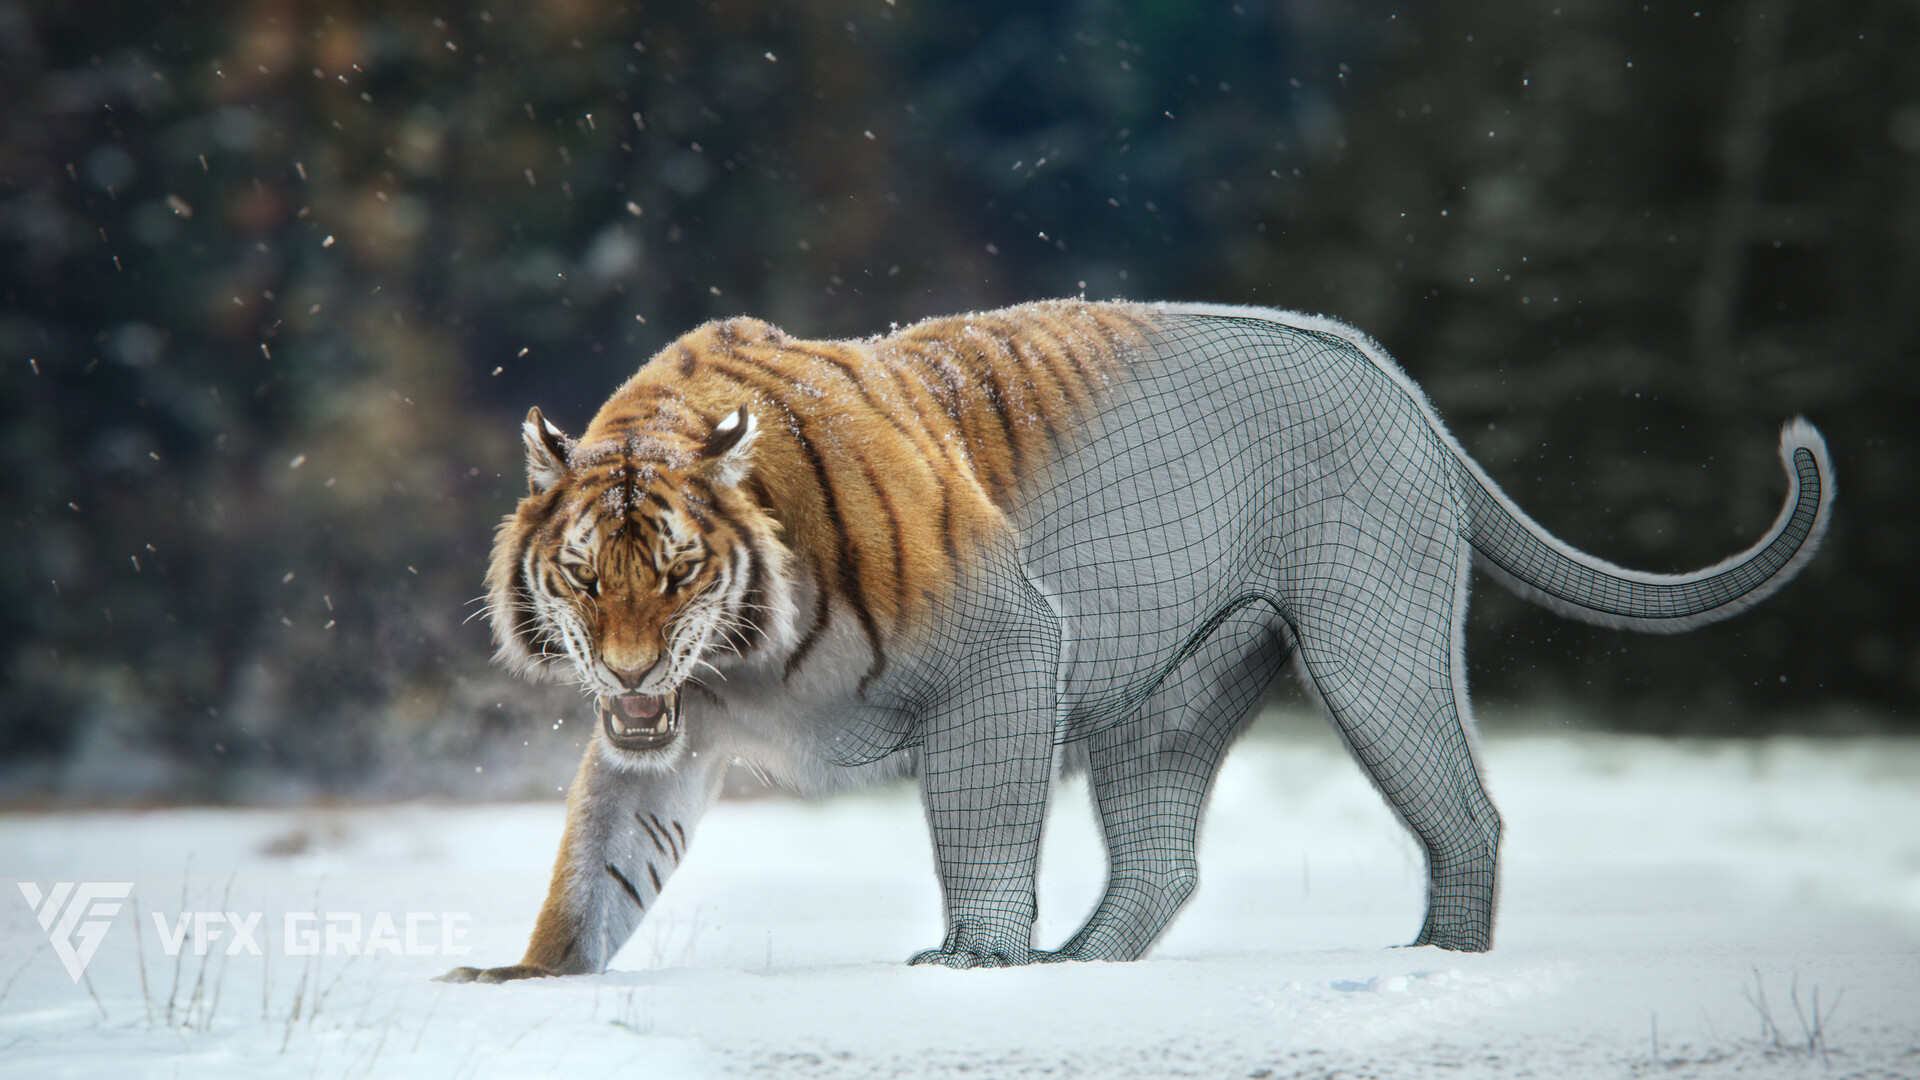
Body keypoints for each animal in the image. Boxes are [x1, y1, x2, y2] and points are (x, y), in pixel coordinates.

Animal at [438, 299, 1830, 981]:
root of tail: (1401, 385)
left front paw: (975, 963)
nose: (627, 670)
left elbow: (980, 832)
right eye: (583, 576)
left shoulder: (1007, 657)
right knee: (1165, 862)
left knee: (1466, 814)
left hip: (1372, 650)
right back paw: (1085, 968)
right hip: (1166, 704)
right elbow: (595, 872)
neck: (732, 655)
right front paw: (530, 982)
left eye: (678, 572)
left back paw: (1443, 963)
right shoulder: (666, 742)